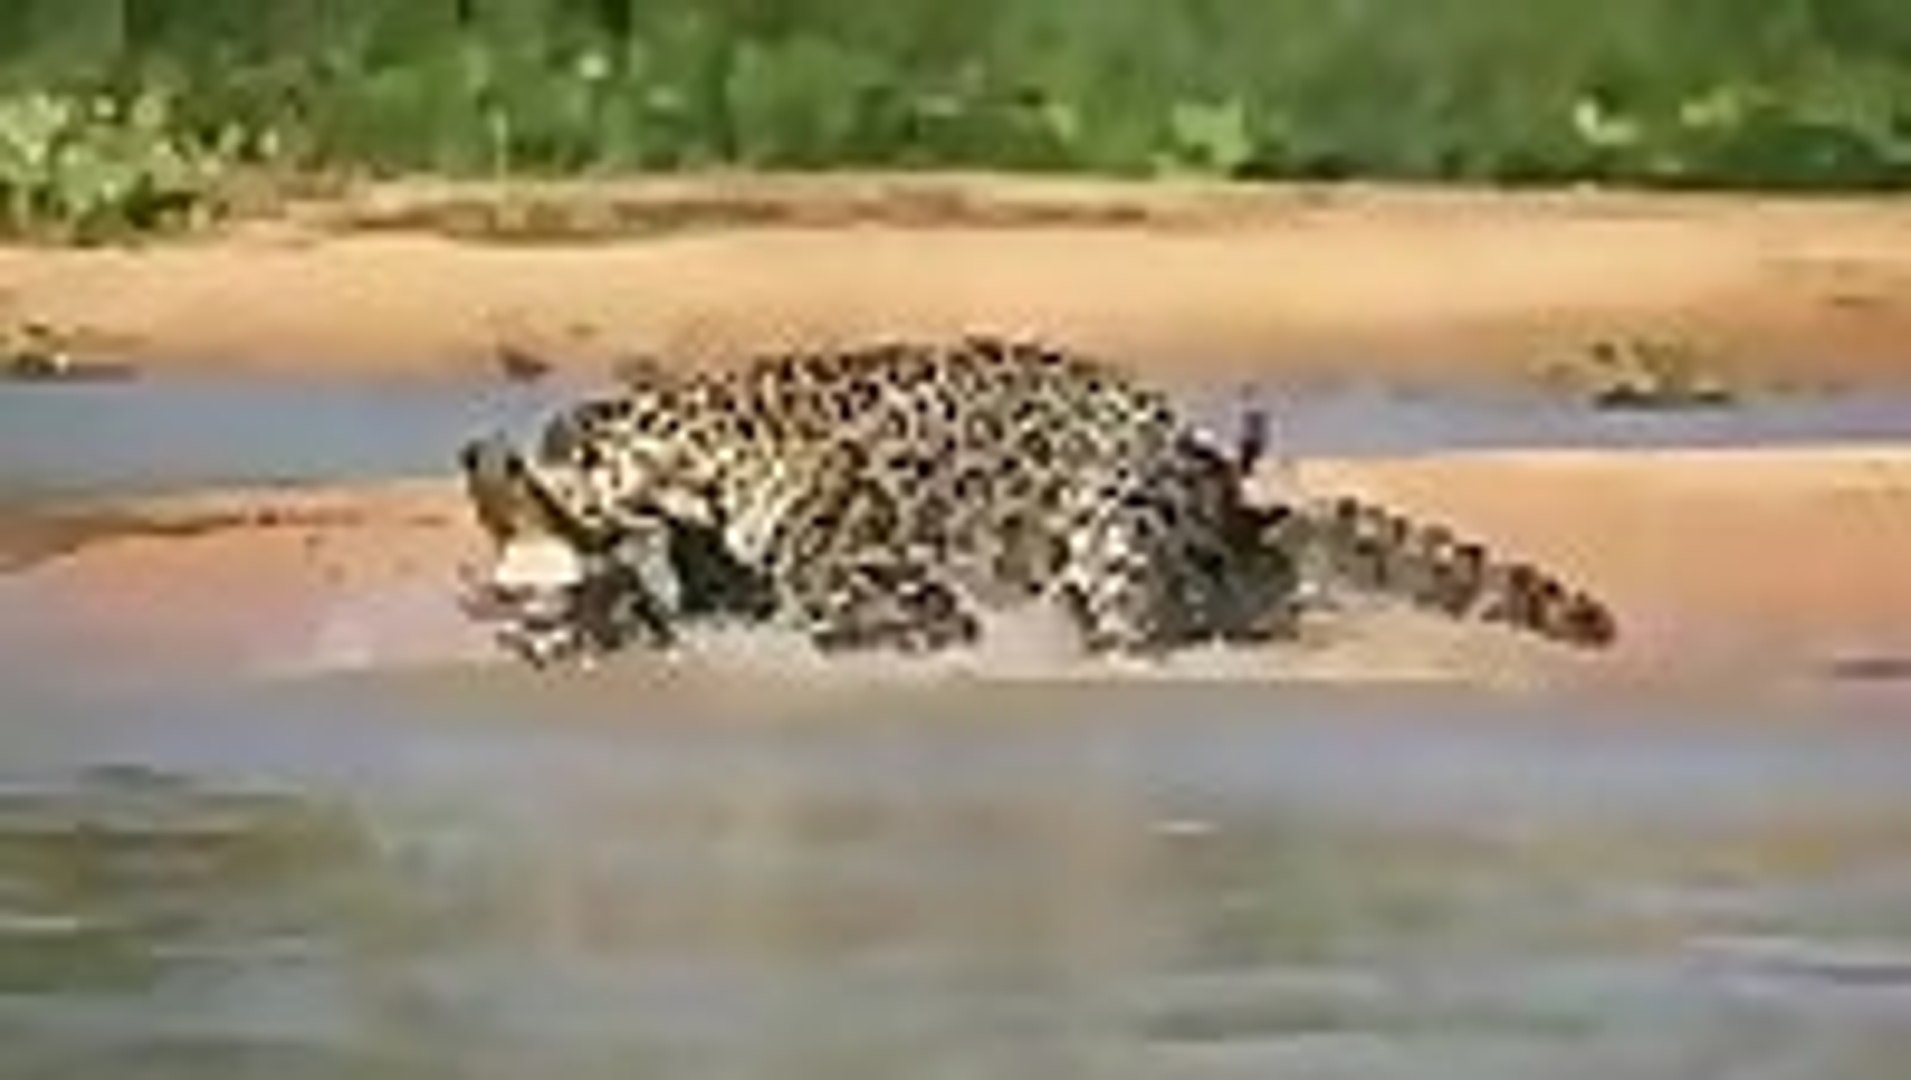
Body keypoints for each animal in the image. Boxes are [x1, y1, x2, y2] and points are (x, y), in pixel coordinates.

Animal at [454, 334, 1615, 667]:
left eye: (535, 460)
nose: (471, 448)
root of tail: (1210, 467)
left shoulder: (868, 570)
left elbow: (872, 619)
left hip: (1114, 527)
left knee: (1140, 630)